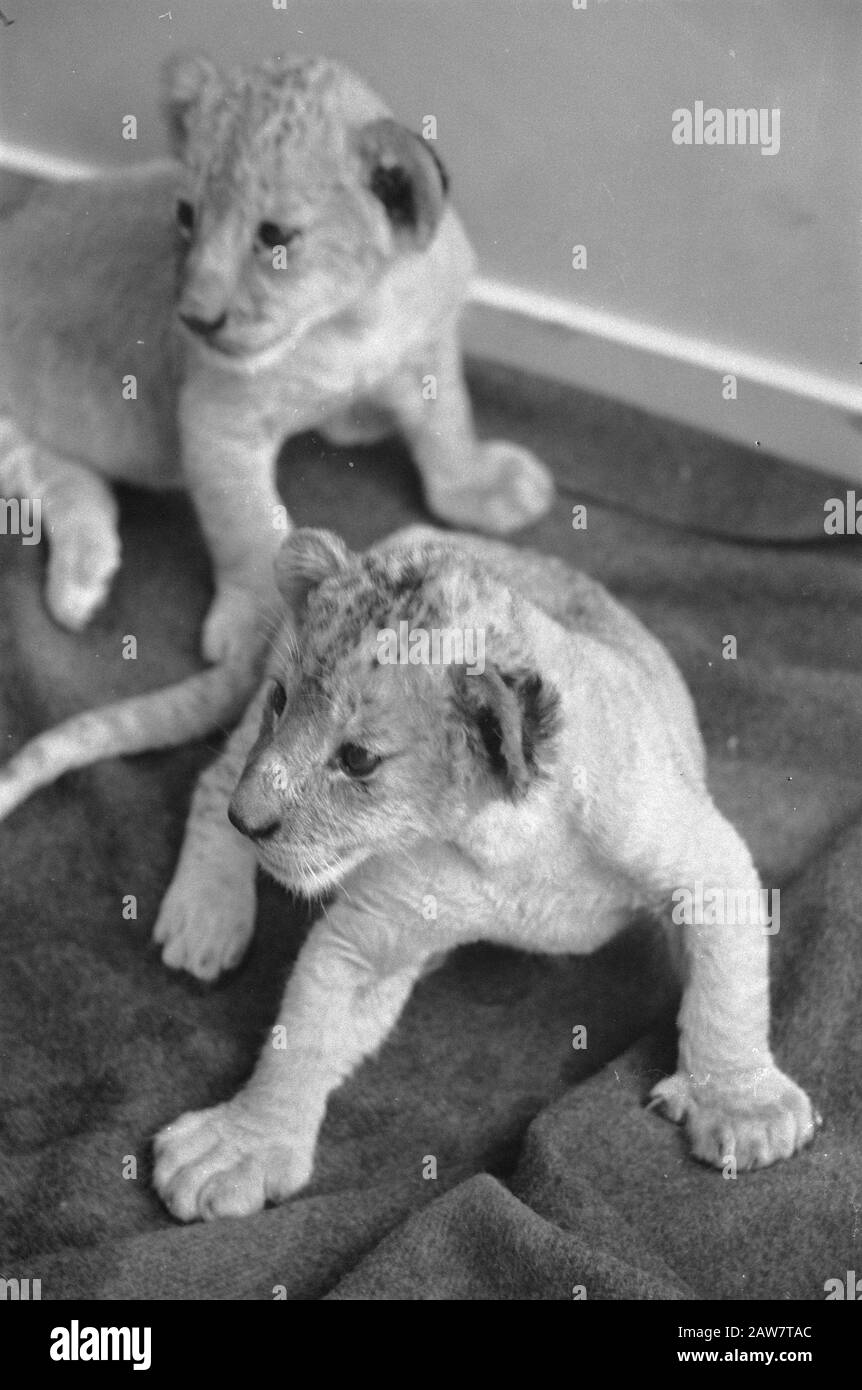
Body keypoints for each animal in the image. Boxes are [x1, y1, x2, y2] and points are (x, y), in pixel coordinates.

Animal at [0, 54, 553, 662]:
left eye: (275, 235)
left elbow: (449, 420)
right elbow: (247, 526)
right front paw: (261, 624)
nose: (195, 319)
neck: (349, 320)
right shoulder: (218, 418)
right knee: (42, 470)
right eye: (187, 214)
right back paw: (81, 581)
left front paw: (483, 487)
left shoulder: (424, 348)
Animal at [0, 526, 818, 1221]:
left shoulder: (701, 854)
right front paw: (241, 1145)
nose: (250, 821)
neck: (501, 842)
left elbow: (727, 988)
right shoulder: (368, 933)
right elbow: (303, 1033)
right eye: (282, 702)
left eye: (358, 759)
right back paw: (206, 918)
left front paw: (745, 1107)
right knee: (208, 780)